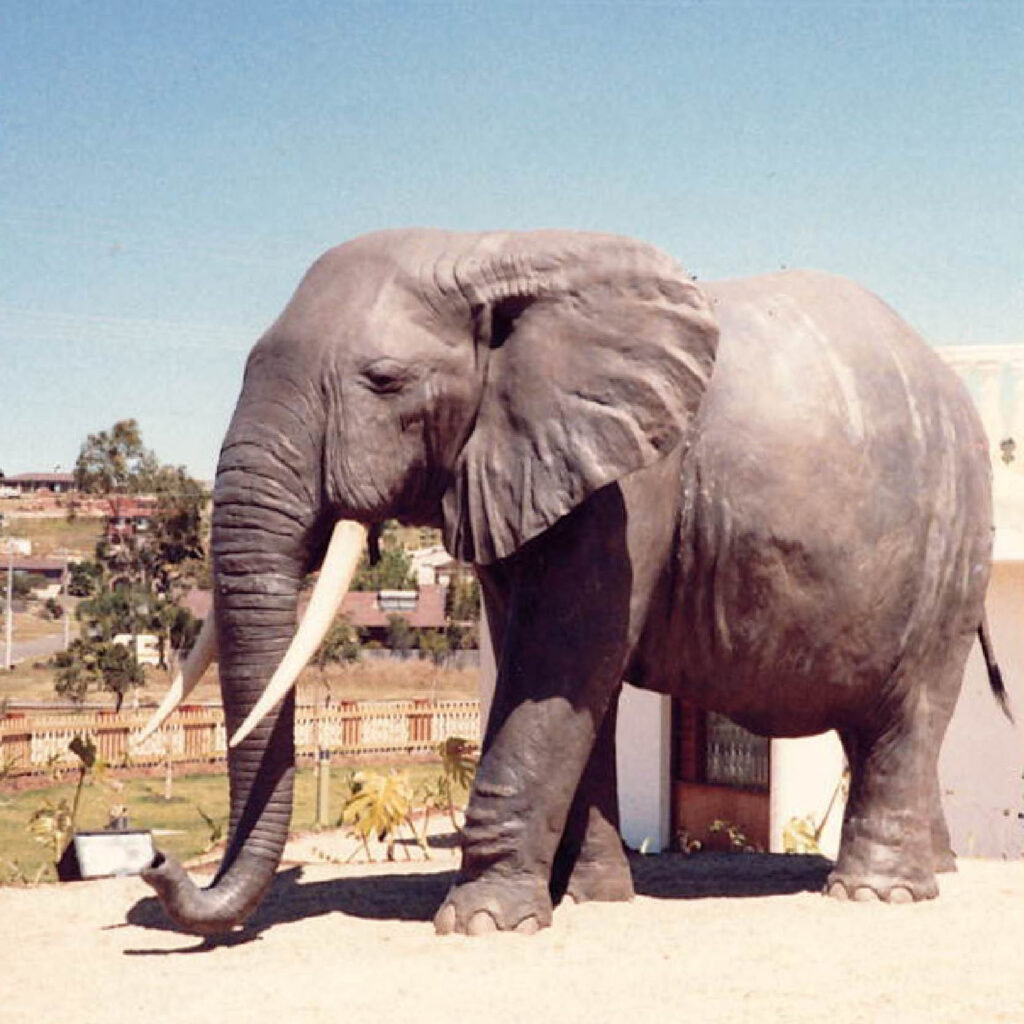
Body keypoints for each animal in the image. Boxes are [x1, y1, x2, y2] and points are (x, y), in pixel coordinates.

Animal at [138, 227, 999, 937]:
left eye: (384, 381)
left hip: (955, 544)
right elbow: (570, 680)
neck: (488, 253)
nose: (155, 859)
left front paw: (483, 924)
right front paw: (591, 899)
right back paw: (931, 873)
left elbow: (559, 661)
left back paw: (875, 896)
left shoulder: (632, 484)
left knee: (907, 715)